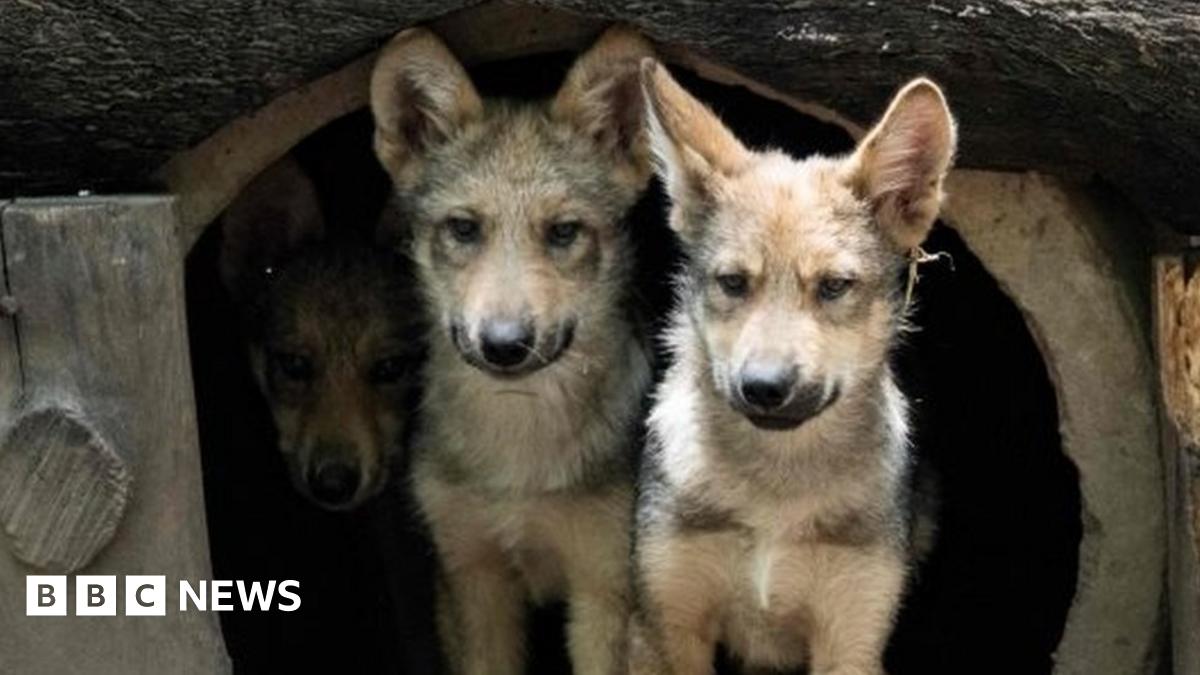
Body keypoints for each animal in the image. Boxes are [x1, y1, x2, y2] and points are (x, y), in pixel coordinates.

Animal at [369, 25, 656, 675]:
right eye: (463, 228)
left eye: (564, 232)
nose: (504, 345)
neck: (518, 454)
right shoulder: (473, 581)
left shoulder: (604, 590)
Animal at [629, 61, 957, 675]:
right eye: (733, 283)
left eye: (834, 287)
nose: (763, 388)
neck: (773, 498)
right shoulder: (665, 629)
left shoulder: (851, 640)